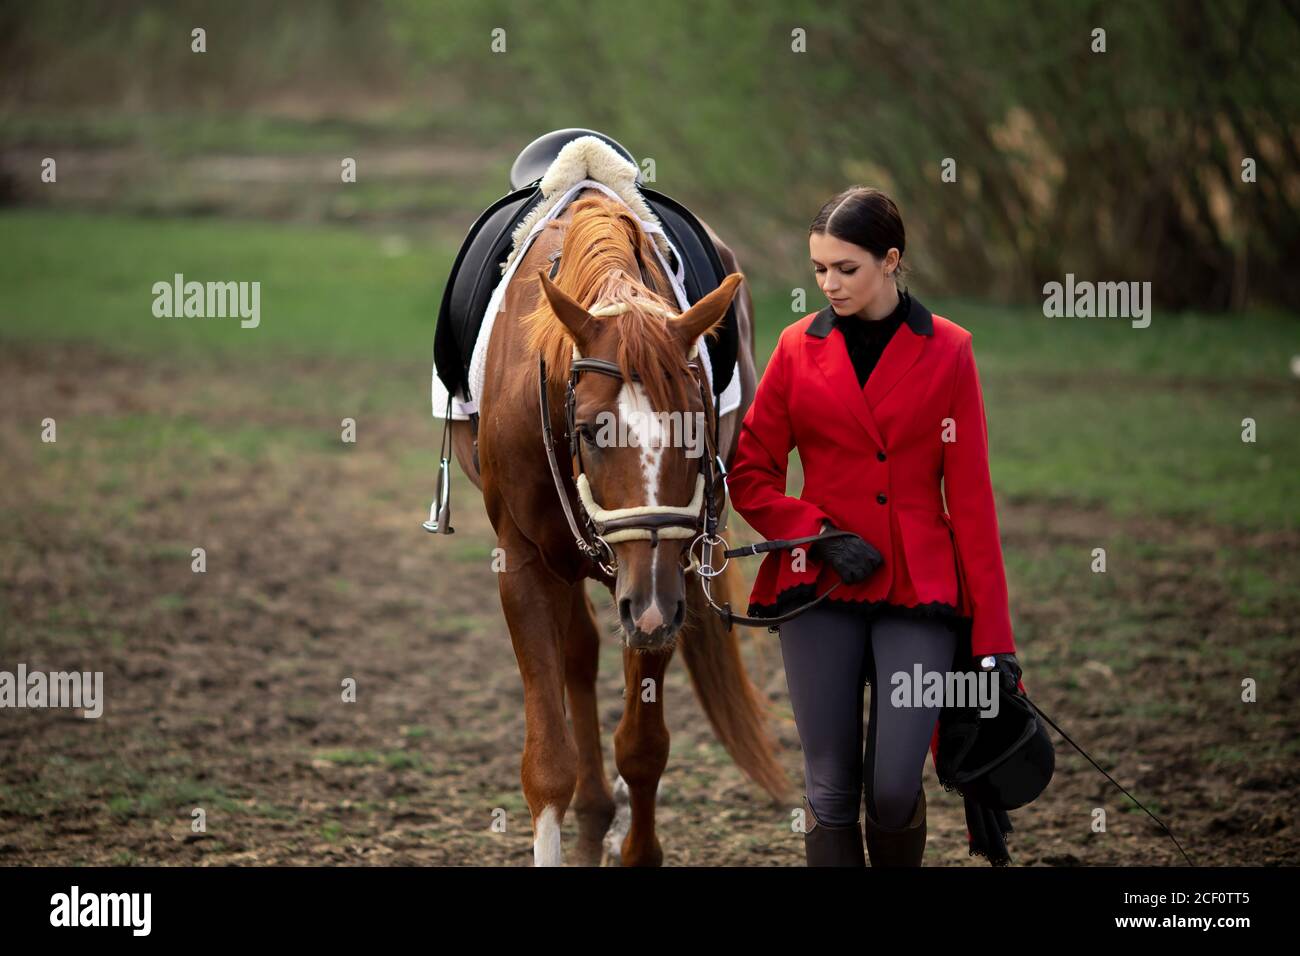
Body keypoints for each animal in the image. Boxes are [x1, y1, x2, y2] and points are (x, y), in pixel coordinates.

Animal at [448, 190, 792, 866]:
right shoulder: (525, 567)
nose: (652, 606)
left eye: (697, 425)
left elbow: (642, 746)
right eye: (587, 431)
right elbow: (546, 764)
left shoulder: (660, 583)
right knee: (578, 655)